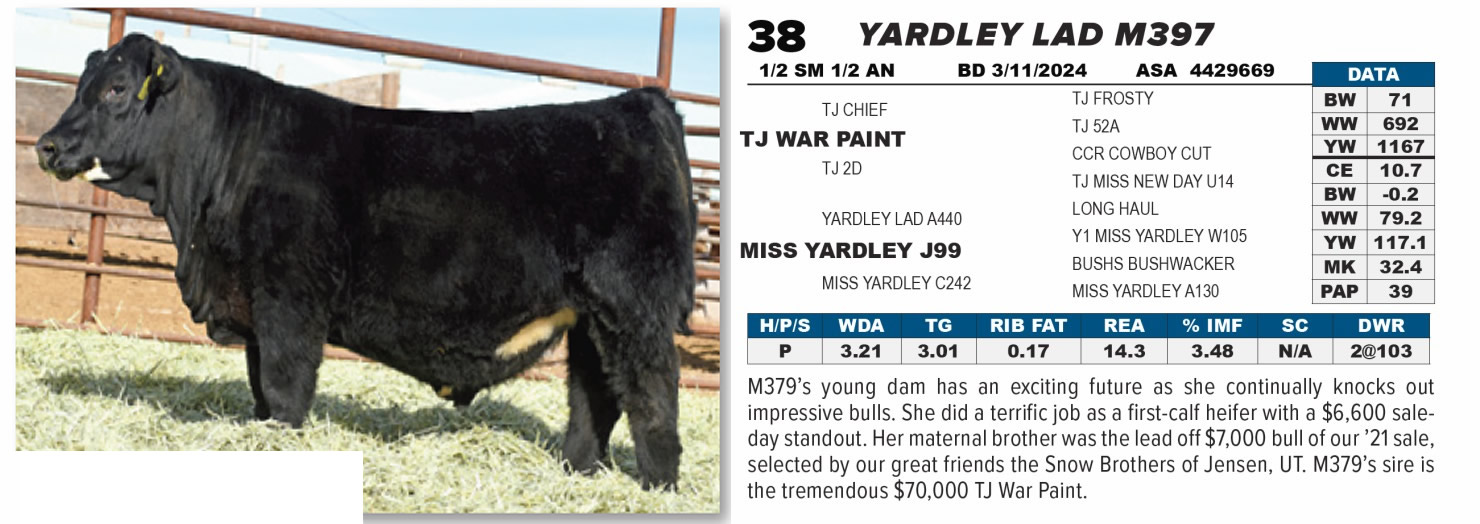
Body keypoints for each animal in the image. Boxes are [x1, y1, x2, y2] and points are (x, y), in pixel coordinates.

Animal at [35, 34, 696, 490]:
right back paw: (578, 470)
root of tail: (637, 105)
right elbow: (258, 387)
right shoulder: (251, 303)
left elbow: (284, 385)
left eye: (118, 89)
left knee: (651, 392)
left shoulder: (290, 301)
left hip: (635, 306)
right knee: (594, 394)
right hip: (591, 316)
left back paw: (658, 484)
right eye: (82, 84)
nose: (46, 145)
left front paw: (283, 439)